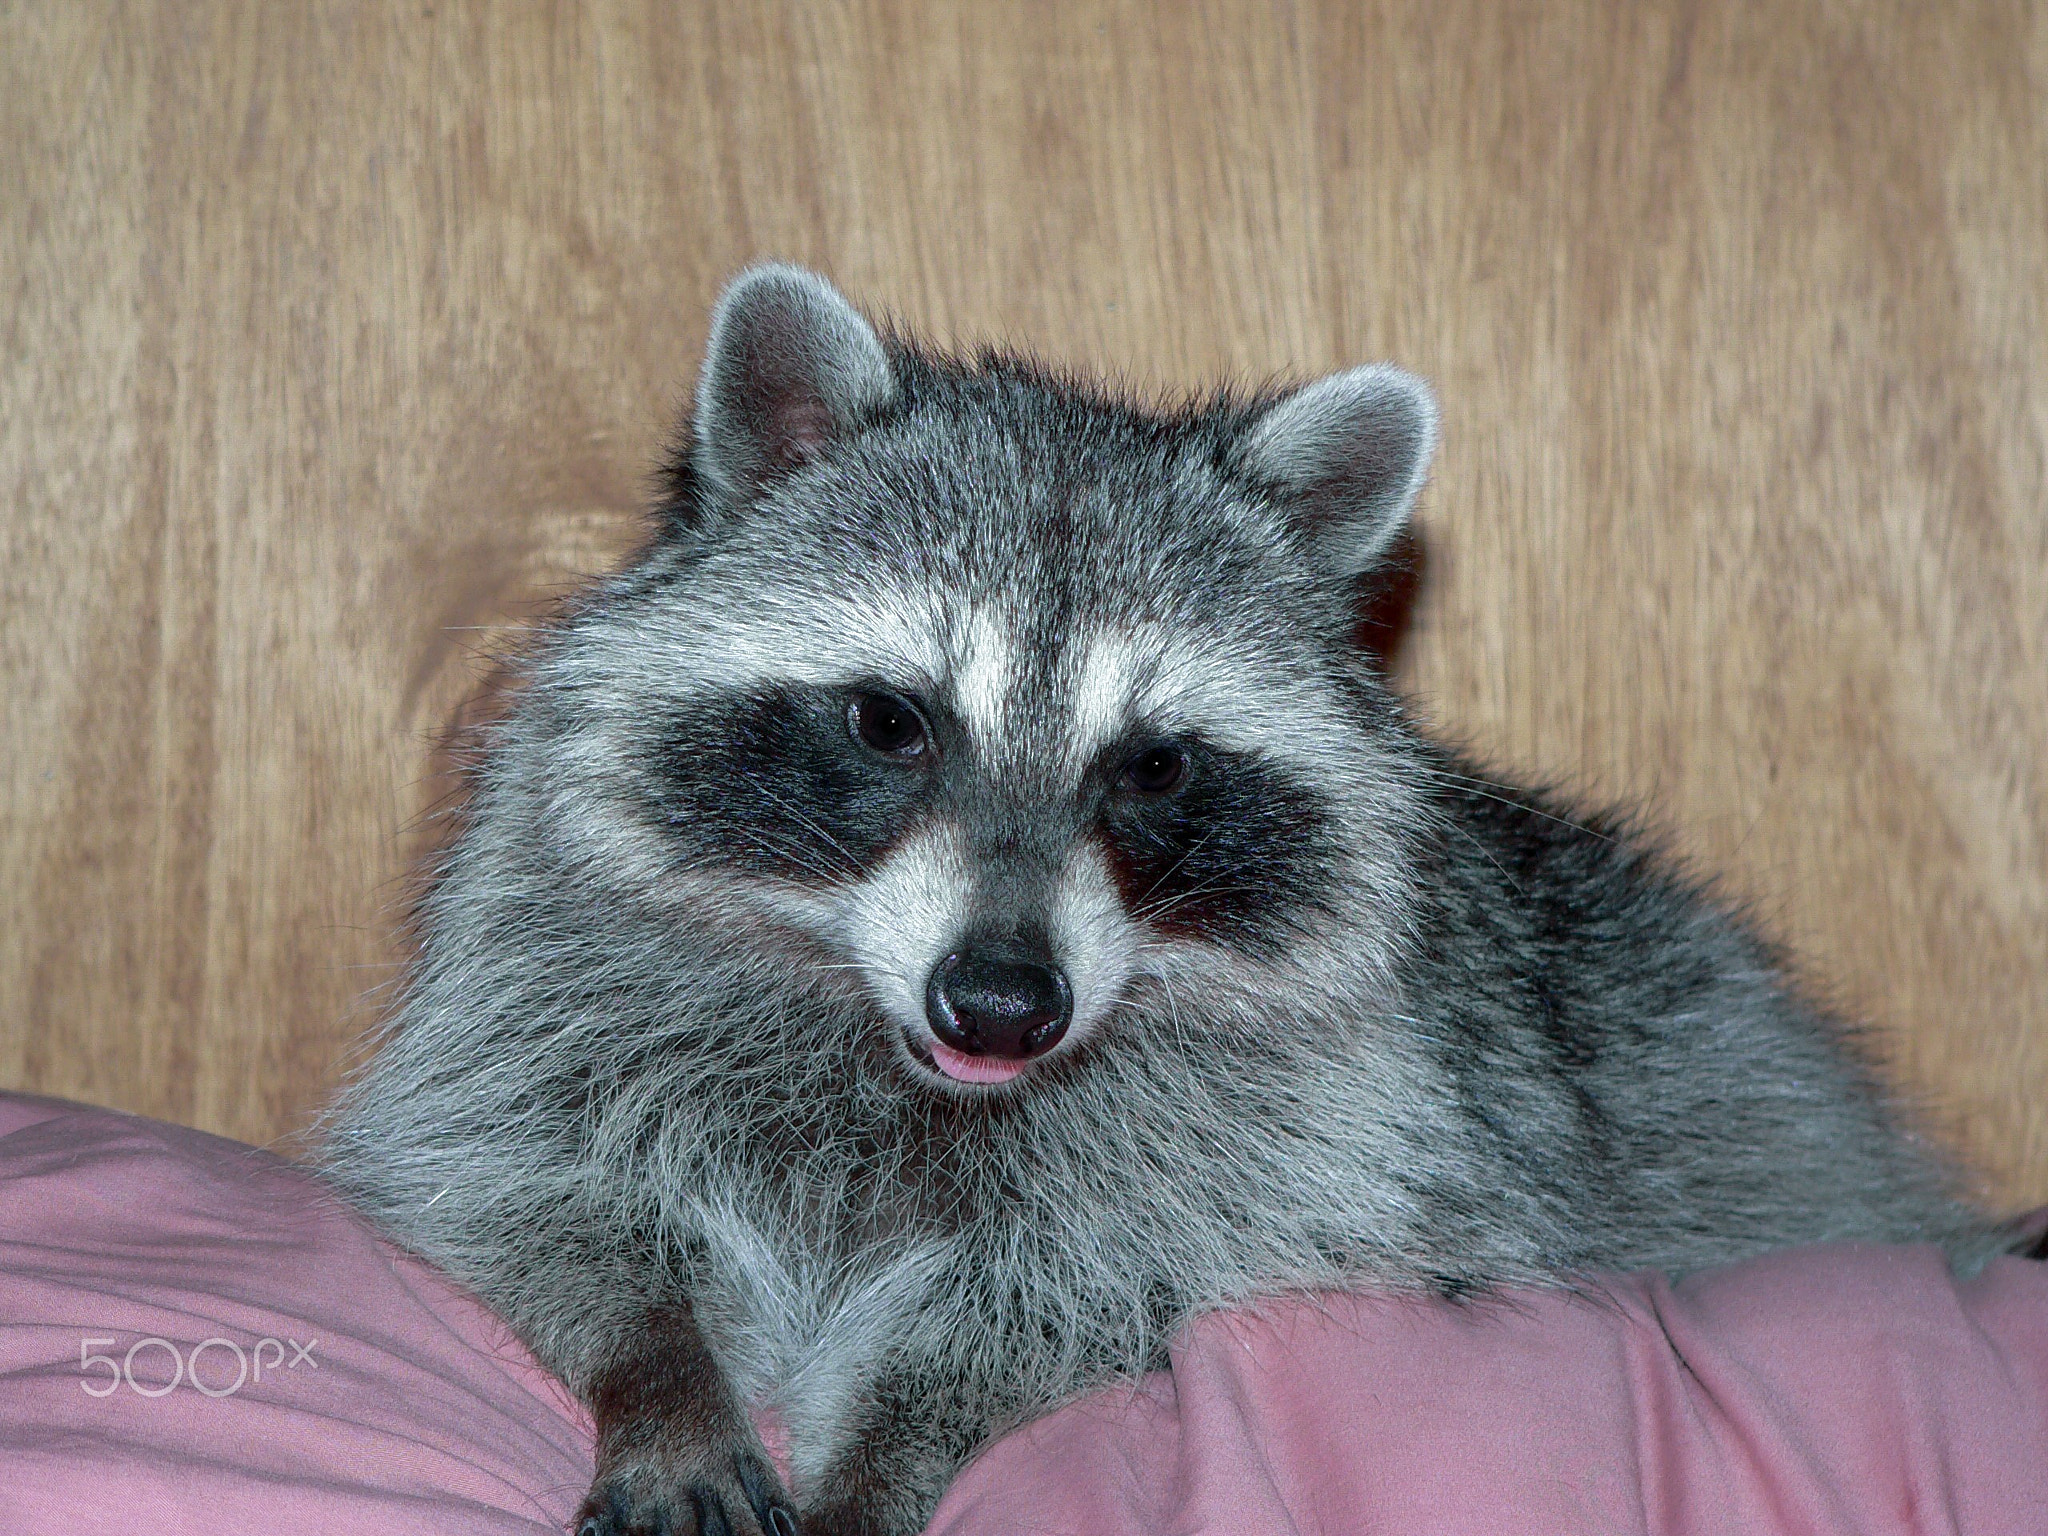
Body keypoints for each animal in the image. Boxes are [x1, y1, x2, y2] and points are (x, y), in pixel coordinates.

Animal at [319, 265, 2000, 1536]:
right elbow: (520, 1182)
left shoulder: (1275, 1159)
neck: (900, 1052)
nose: (1003, 1005)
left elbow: (1039, 1324)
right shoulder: (537, 987)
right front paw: (663, 1376)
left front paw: (880, 1470)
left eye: (1155, 767)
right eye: (891, 721)